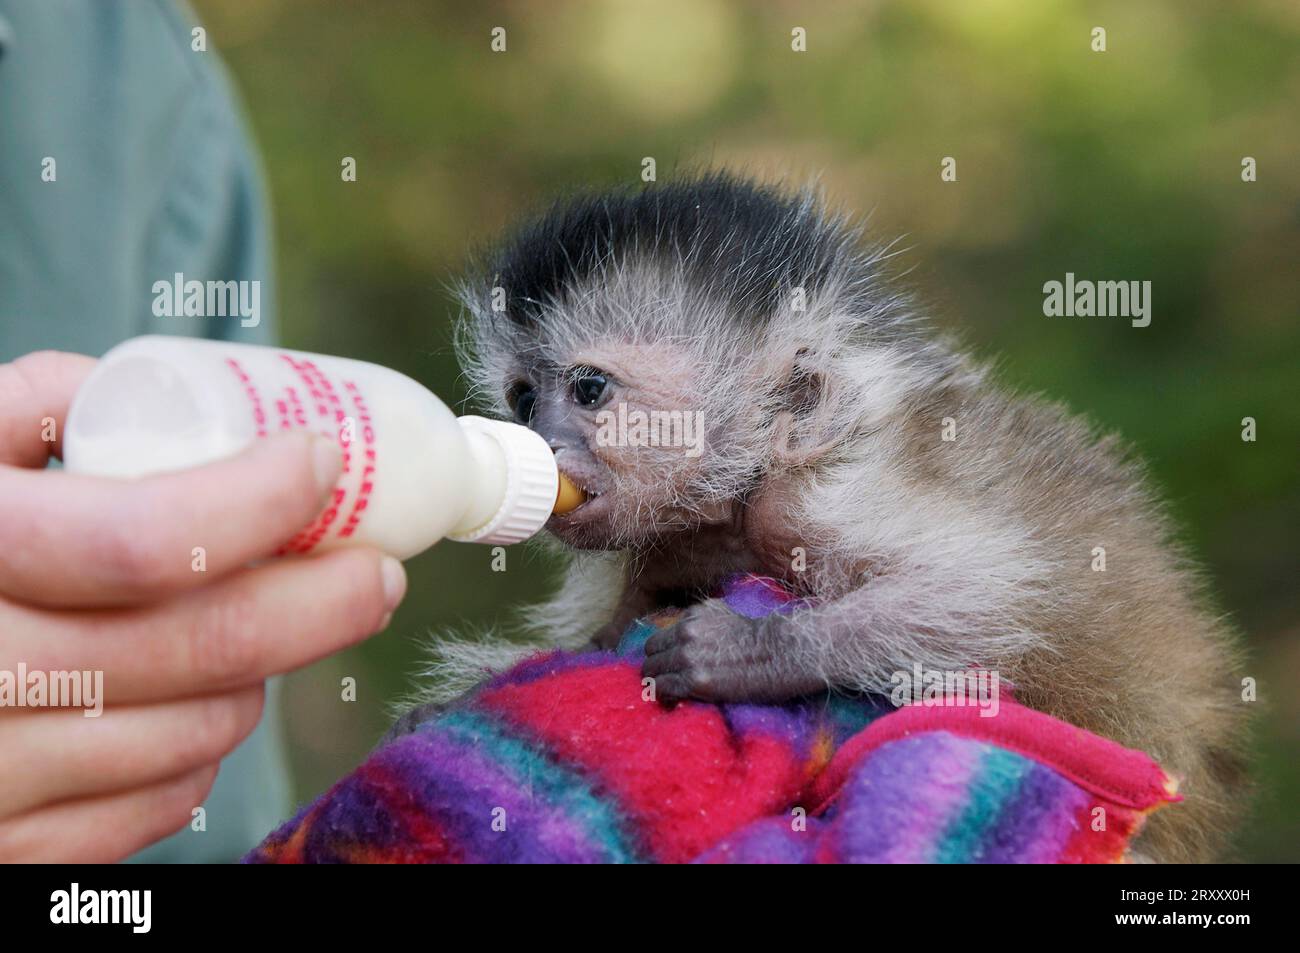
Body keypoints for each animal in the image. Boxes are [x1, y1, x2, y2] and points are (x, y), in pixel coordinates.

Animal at [404, 171, 1249, 862]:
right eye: (522, 398)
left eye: (587, 390)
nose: (541, 440)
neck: (737, 499)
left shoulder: (815, 499)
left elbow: (996, 596)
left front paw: (755, 652)